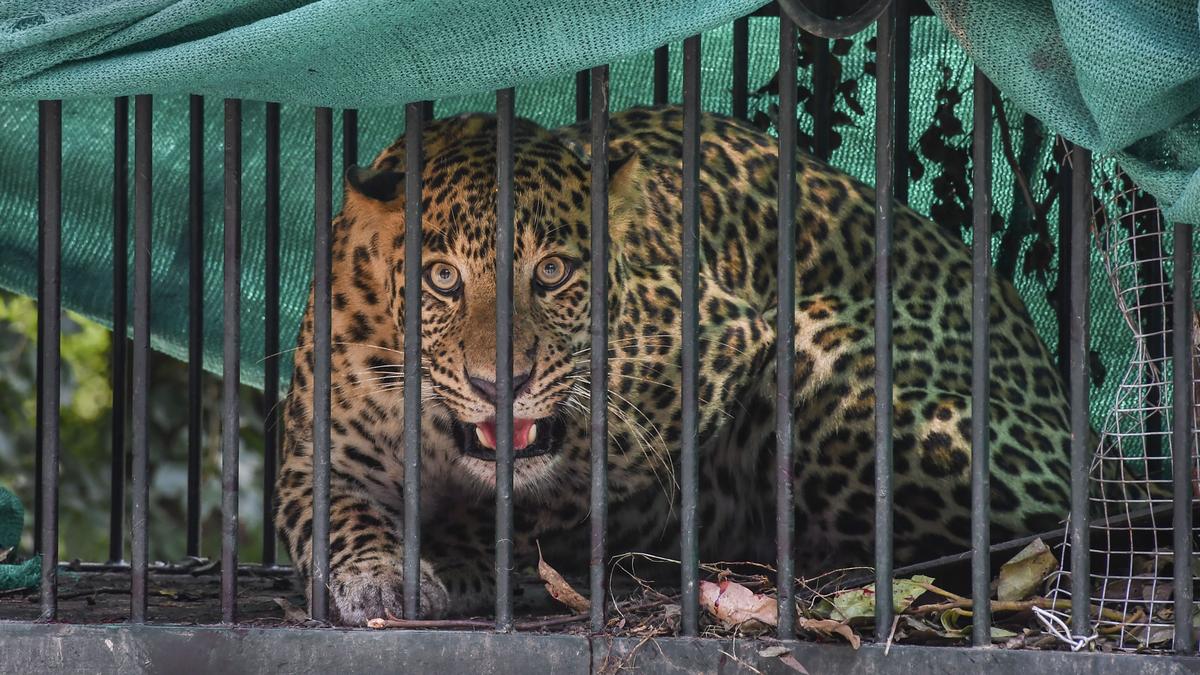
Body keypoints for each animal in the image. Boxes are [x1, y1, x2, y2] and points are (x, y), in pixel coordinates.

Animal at [275, 106, 1072, 625]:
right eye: (442, 278)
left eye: (553, 271)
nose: (500, 385)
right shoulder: (315, 453)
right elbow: (334, 512)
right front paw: (378, 576)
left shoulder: (715, 353)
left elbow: (545, 498)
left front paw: (464, 553)